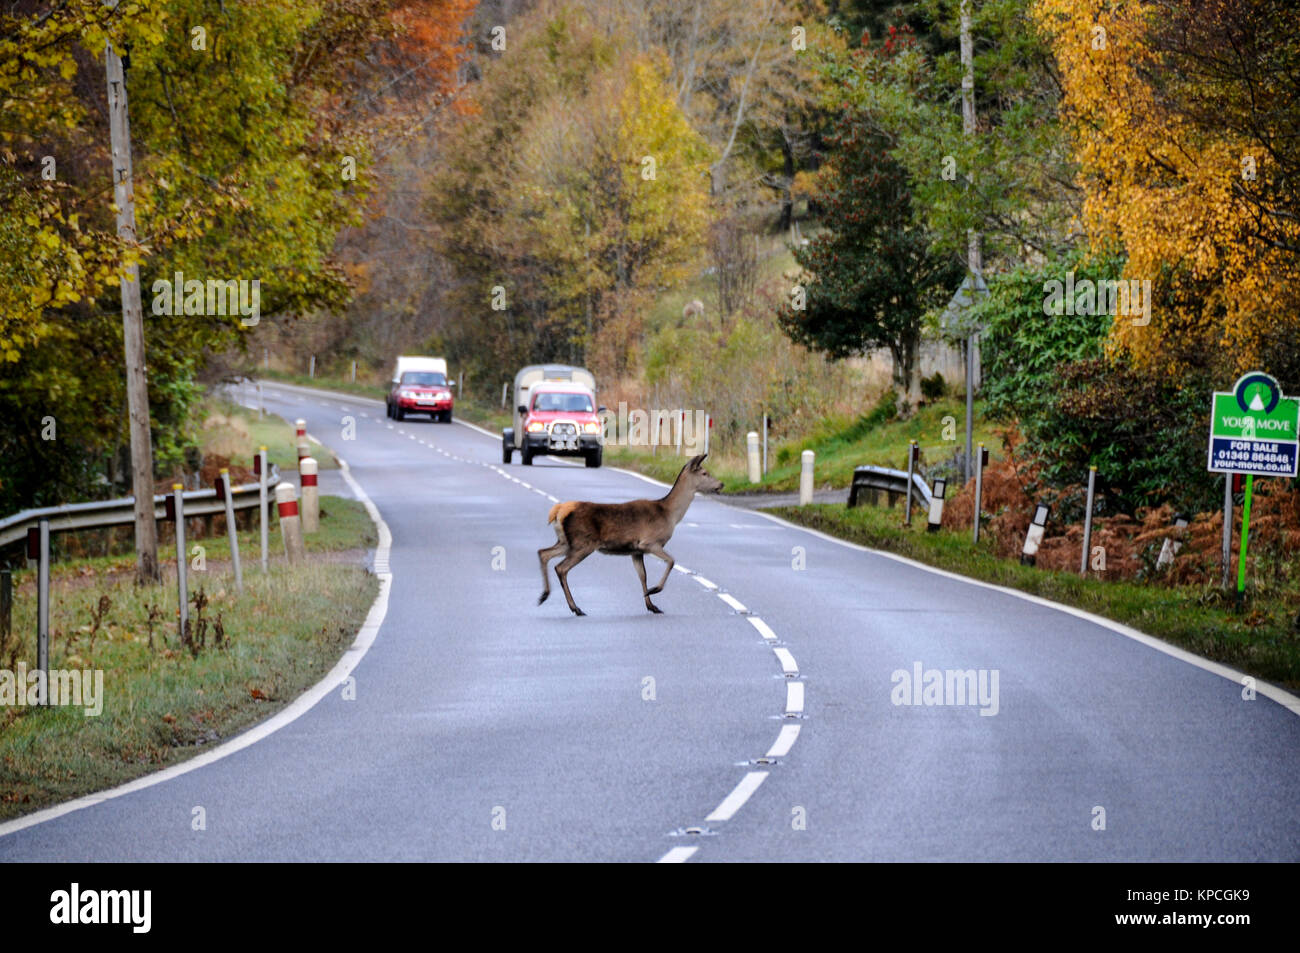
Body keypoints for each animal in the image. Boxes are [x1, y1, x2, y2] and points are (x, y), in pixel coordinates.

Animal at [538, 453, 724, 615]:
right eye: (704, 472)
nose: (721, 484)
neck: (669, 514)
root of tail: (558, 511)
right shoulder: (649, 542)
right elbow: (671, 561)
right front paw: (654, 590)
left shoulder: (636, 551)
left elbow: (643, 576)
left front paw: (652, 605)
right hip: (583, 542)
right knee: (561, 567)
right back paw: (575, 608)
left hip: (566, 542)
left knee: (543, 553)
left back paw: (545, 595)